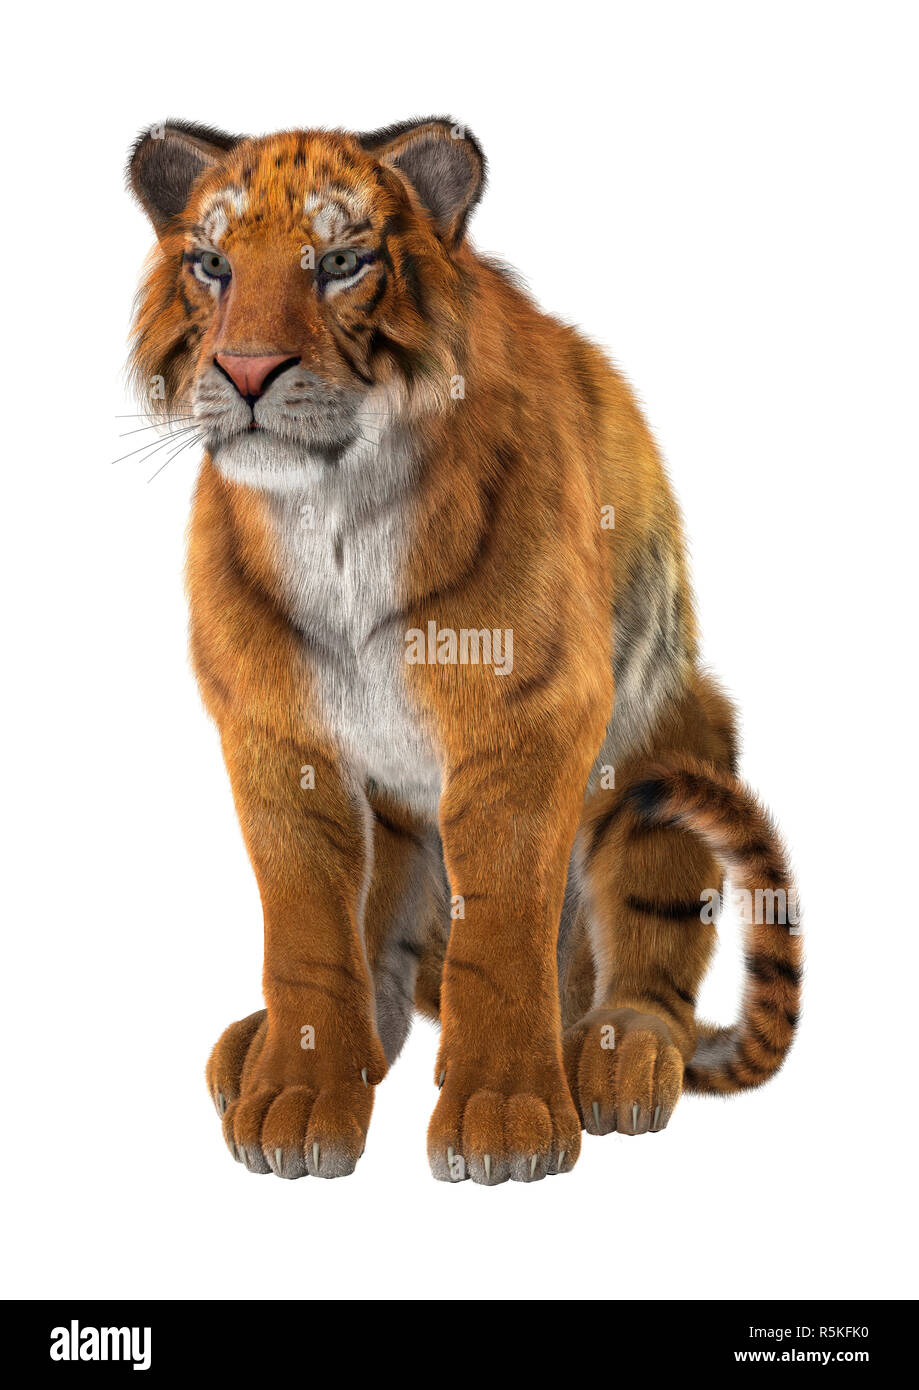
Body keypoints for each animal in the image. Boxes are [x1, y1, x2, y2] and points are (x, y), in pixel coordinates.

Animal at [127, 116, 801, 1184]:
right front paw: (295, 1097)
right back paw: (265, 1045)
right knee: (385, 957)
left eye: (342, 264)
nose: (245, 371)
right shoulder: (277, 733)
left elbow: (505, 927)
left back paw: (620, 1057)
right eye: (212, 264)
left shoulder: (526, 715)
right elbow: (308, 929)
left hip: (677, 742)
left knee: (642, 959)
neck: (334, 513)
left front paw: (506, 1116)